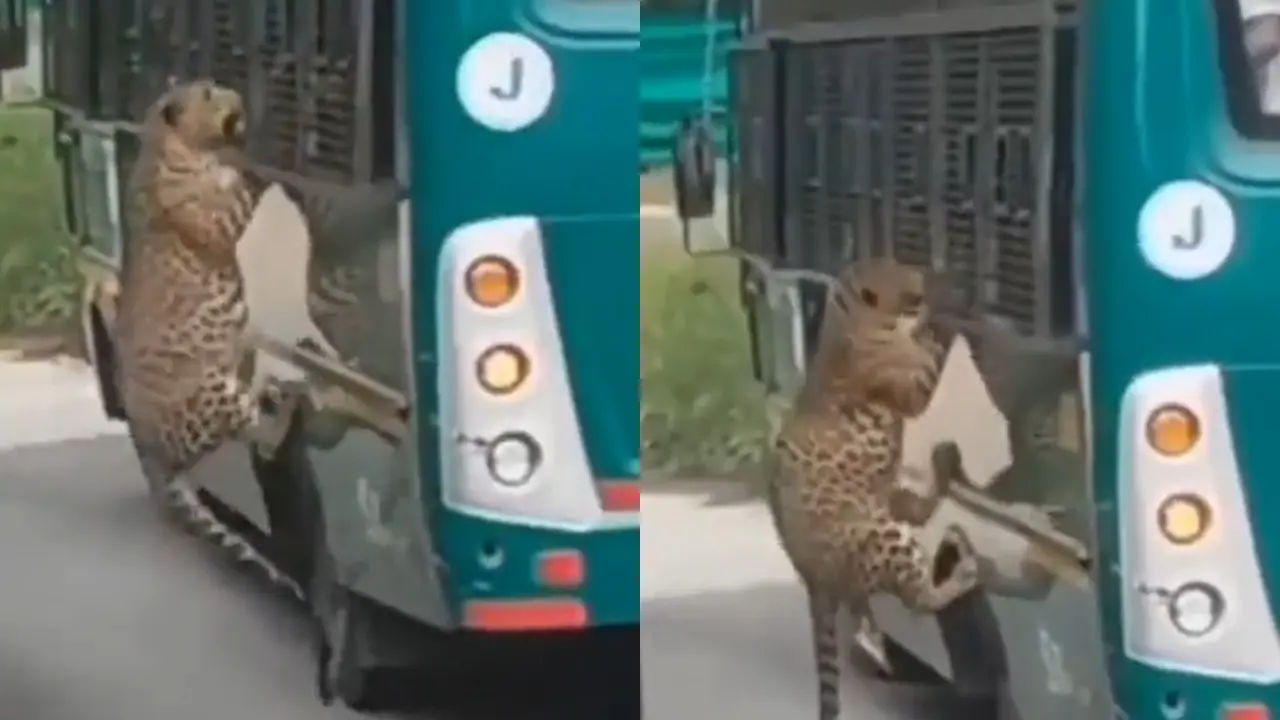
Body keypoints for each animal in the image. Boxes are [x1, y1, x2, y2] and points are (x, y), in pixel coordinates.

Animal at [115, 78, 301, 599]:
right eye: (207, 92)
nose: (234, 93)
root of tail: (146, 452)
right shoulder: (217, 219)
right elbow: (243, 186)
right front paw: (258, 149)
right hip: (209, 389)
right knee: (263, 437)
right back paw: (289, 400)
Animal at [765, 257, 981, 720]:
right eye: (913, 286)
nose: (932, 285)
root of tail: (813, 581)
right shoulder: (909, 384)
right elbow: (928, 361)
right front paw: (937, 326)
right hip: (881, 533)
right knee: (919, 598)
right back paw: (963, 571)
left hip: (890, 498)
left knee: (918, 509)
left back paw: (944, 468)